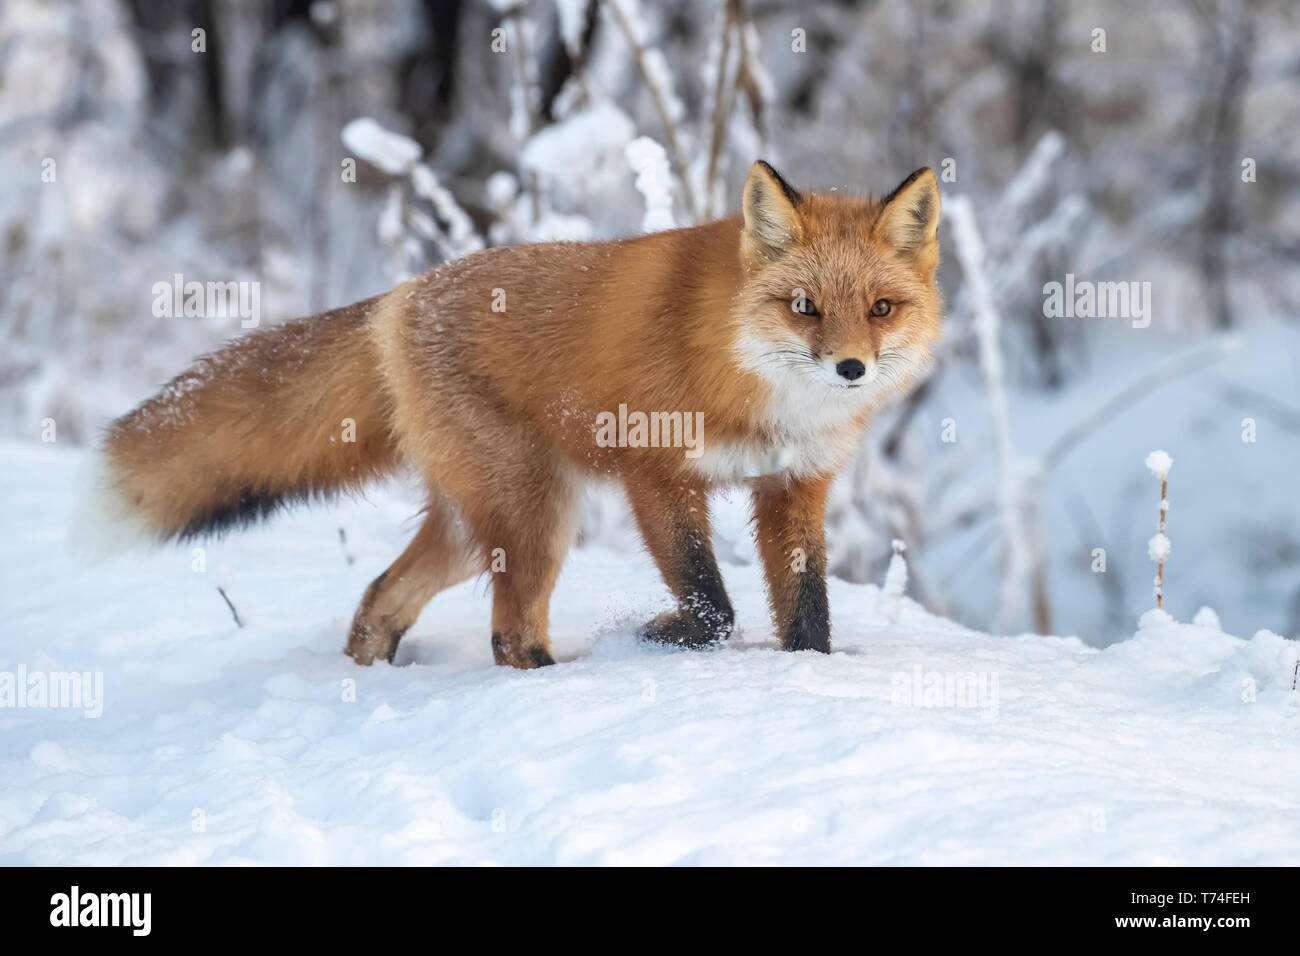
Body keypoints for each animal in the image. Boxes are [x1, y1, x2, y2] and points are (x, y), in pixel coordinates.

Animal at [88, 161, 942, 668]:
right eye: (803, 307)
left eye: (880, 308)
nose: (851, 368)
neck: (747, 373)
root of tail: (400, 297)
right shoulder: (655, 473)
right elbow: (712, 606)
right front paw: (653, 637)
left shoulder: (794, 487)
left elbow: (808, 616)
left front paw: (809, 680)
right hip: (536, 516)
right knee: (509, 634)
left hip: (481, 527)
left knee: (379, 598)